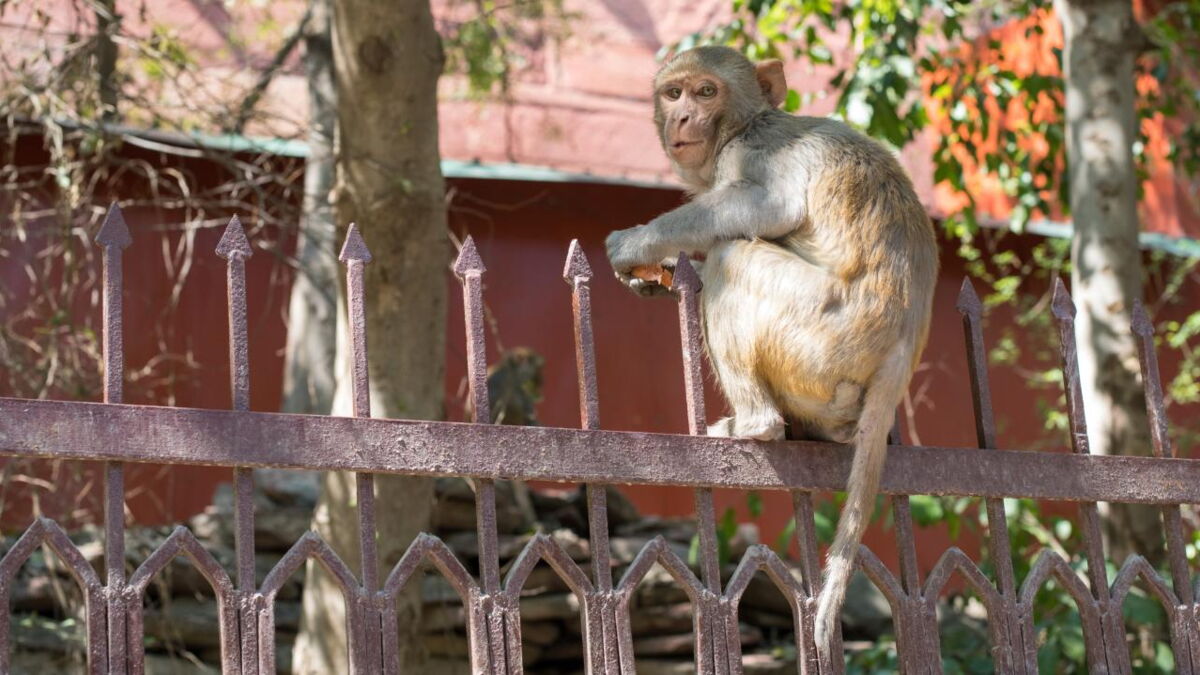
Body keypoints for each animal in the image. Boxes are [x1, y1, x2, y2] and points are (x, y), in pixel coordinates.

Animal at [604, 46, 937, 661]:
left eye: (706, 92)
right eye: (674, 93)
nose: (682, 118)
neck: (747, 122)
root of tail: (903, 347)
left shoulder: (755, 153)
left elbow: (763, 207)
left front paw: (635, 241)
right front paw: (649, 273)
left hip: (820, 337)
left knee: (734, 256)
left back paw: (753, 424)